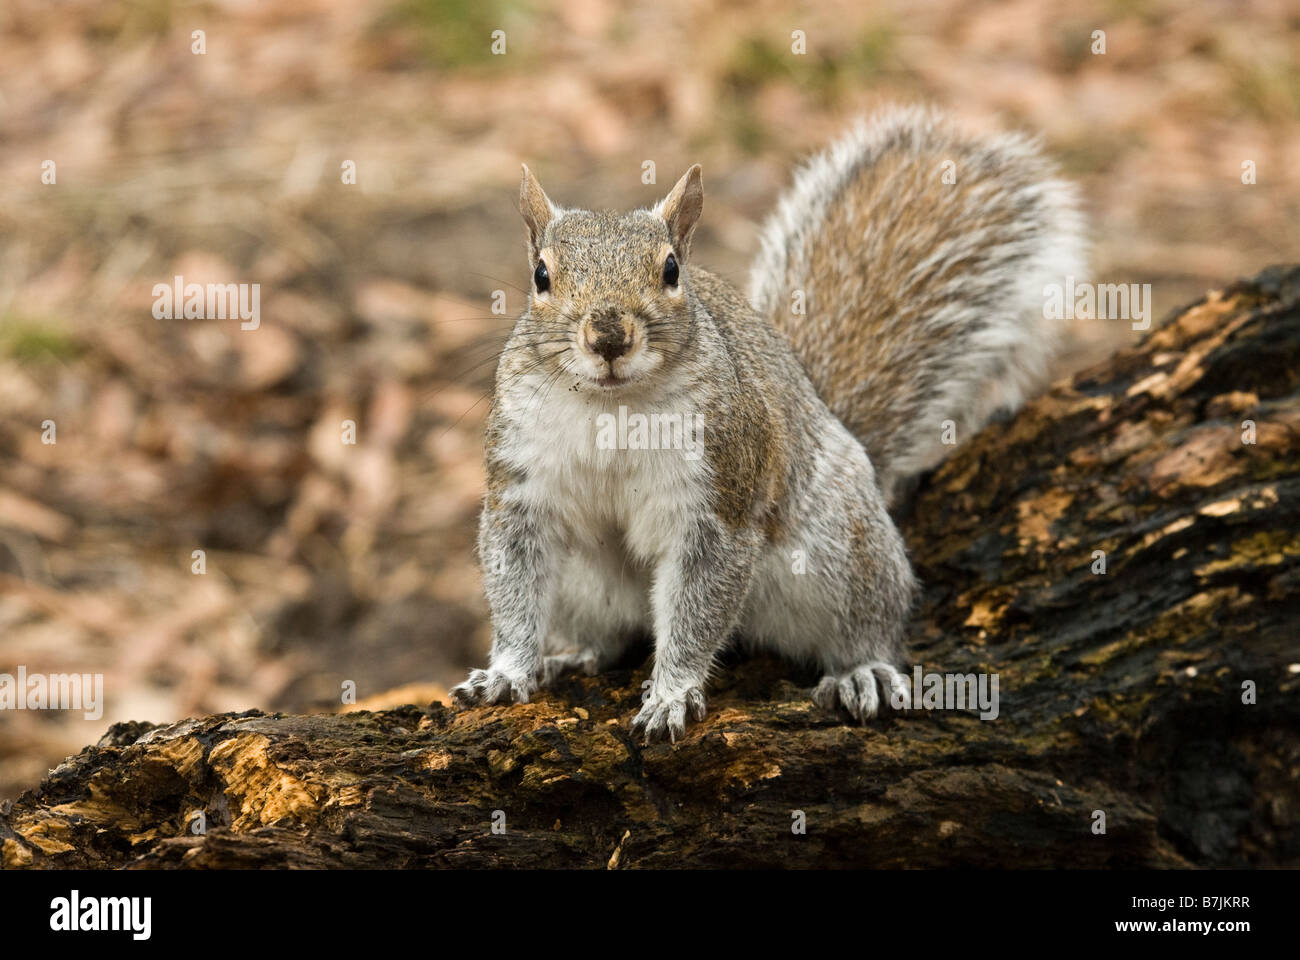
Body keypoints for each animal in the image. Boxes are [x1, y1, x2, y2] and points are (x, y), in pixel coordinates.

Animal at [451, 104, 1086, 743]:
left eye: (672, 270)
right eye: (540, 276)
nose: (608, 337)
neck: (613, 408)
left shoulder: (722, 498)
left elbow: (698, 606)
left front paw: (672, 694)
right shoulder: (520, 487)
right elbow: (514, 586)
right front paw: (507, 671)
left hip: (839, 549)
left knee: (871, 620)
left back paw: (863, 671)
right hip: (585, 586)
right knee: (611, 637)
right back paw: (571, 655)